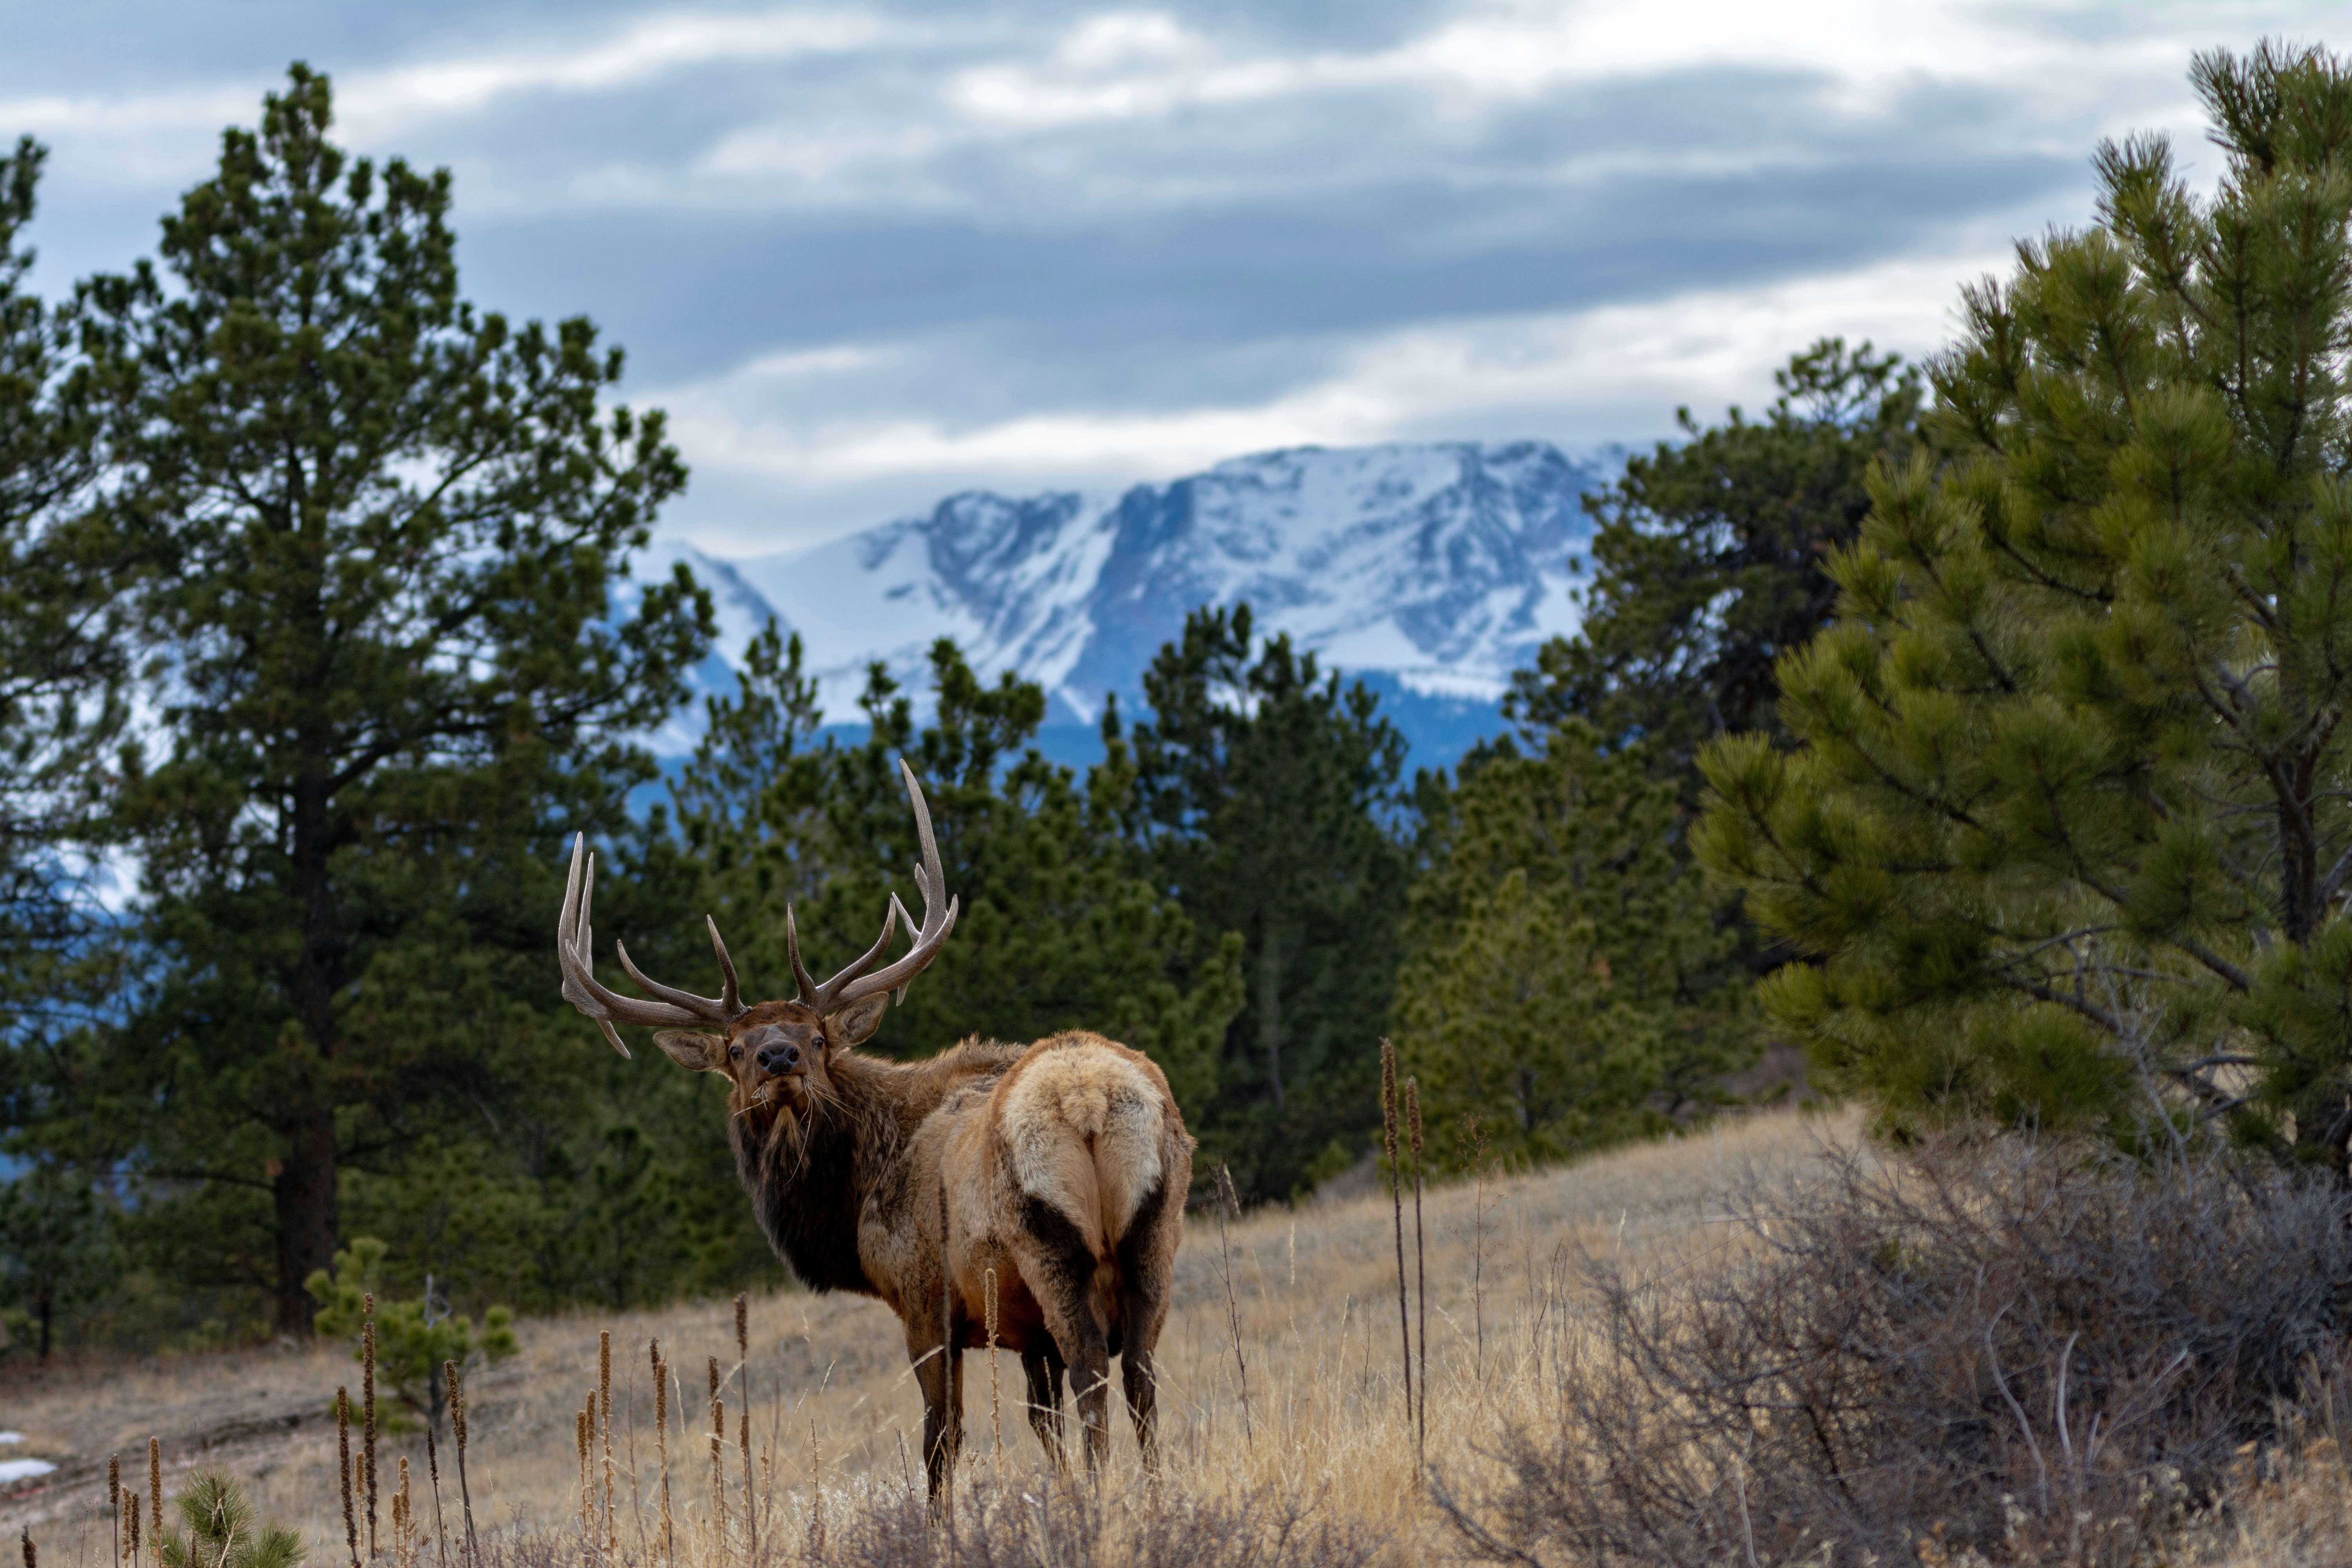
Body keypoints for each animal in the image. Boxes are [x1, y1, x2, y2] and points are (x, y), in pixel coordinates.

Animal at [554, 760, 1191, 1500]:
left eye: (818, 1037)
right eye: (736, 1050)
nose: (779, 1057)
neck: (852, 1204)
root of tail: (1087, 1101)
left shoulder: (924, 1299)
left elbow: (943, 1438)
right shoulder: (1021, 1327)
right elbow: (1041, 1422)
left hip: (1049, 1247)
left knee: (1092, 1367)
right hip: (1155, 1234)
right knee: (1141, 1372)